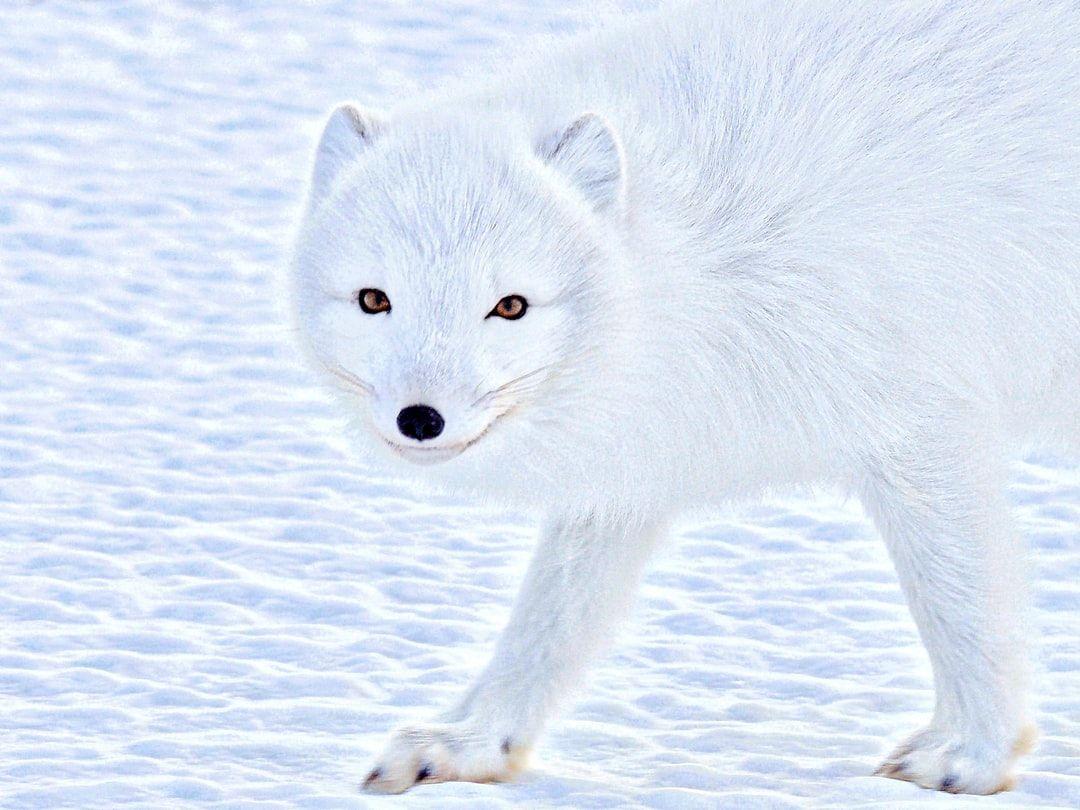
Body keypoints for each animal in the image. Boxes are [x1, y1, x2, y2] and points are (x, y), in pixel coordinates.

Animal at [288, 0, 1080, 797]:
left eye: (509, 306)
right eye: (374, 299)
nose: (420, 419)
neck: (701, 256)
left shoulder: (919, 428)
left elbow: (959, 604)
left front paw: (973, 755)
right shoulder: (633, 466)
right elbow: (547, 623)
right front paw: (472, 743)